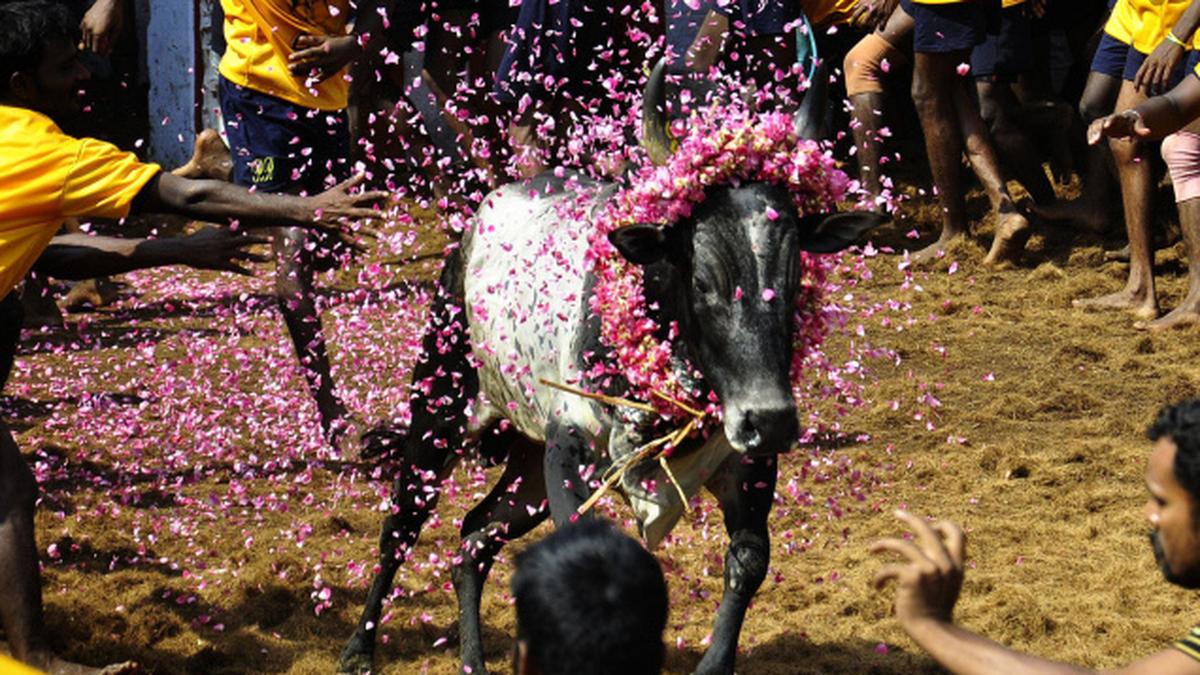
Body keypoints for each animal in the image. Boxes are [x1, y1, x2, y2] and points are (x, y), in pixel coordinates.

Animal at [338, 61, 885, 675]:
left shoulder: (749, 465)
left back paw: (472, 660)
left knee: (475, 536)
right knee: (400, 527)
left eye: (794, 279)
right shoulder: (568, 451)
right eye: (701, 280)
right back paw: (359, 647)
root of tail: (475, 225)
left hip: (526, 467)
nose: (769, 420)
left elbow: (748, 562)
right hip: (439, 413)